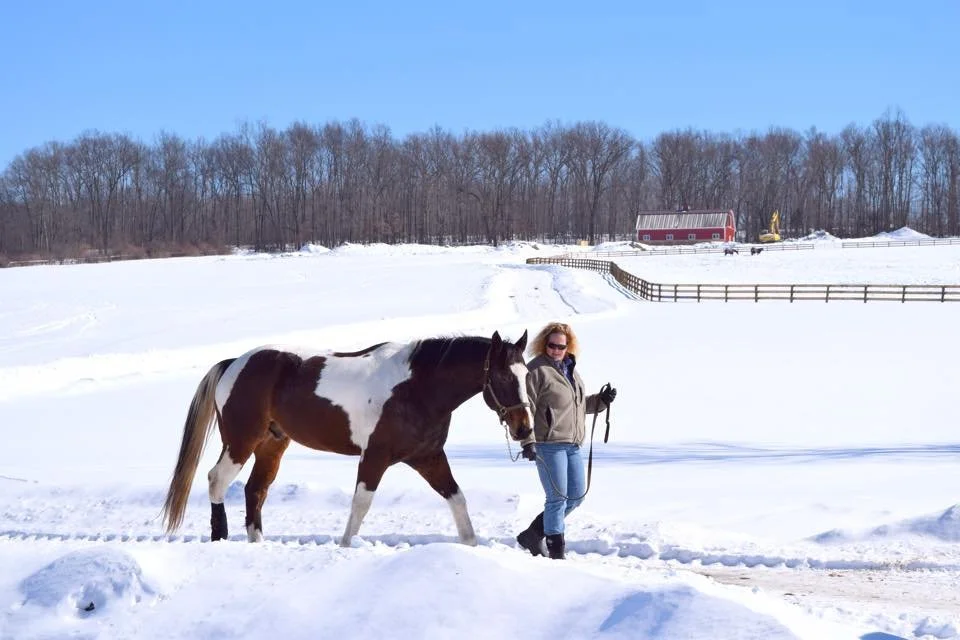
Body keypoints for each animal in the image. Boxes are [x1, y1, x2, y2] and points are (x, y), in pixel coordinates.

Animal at [161, 330, 532, 546]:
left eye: (526, 374)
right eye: (502, 376)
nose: (524, 429)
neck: (417, 388)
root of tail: (234, 364)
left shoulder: (428, 458)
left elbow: (458, 501)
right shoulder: (375, 458)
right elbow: (361, 505)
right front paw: (344, 547)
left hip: (272, 445)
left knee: (255, 490)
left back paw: (257, 542)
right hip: (240, 442)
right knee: (216, 480)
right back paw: (219, 536)